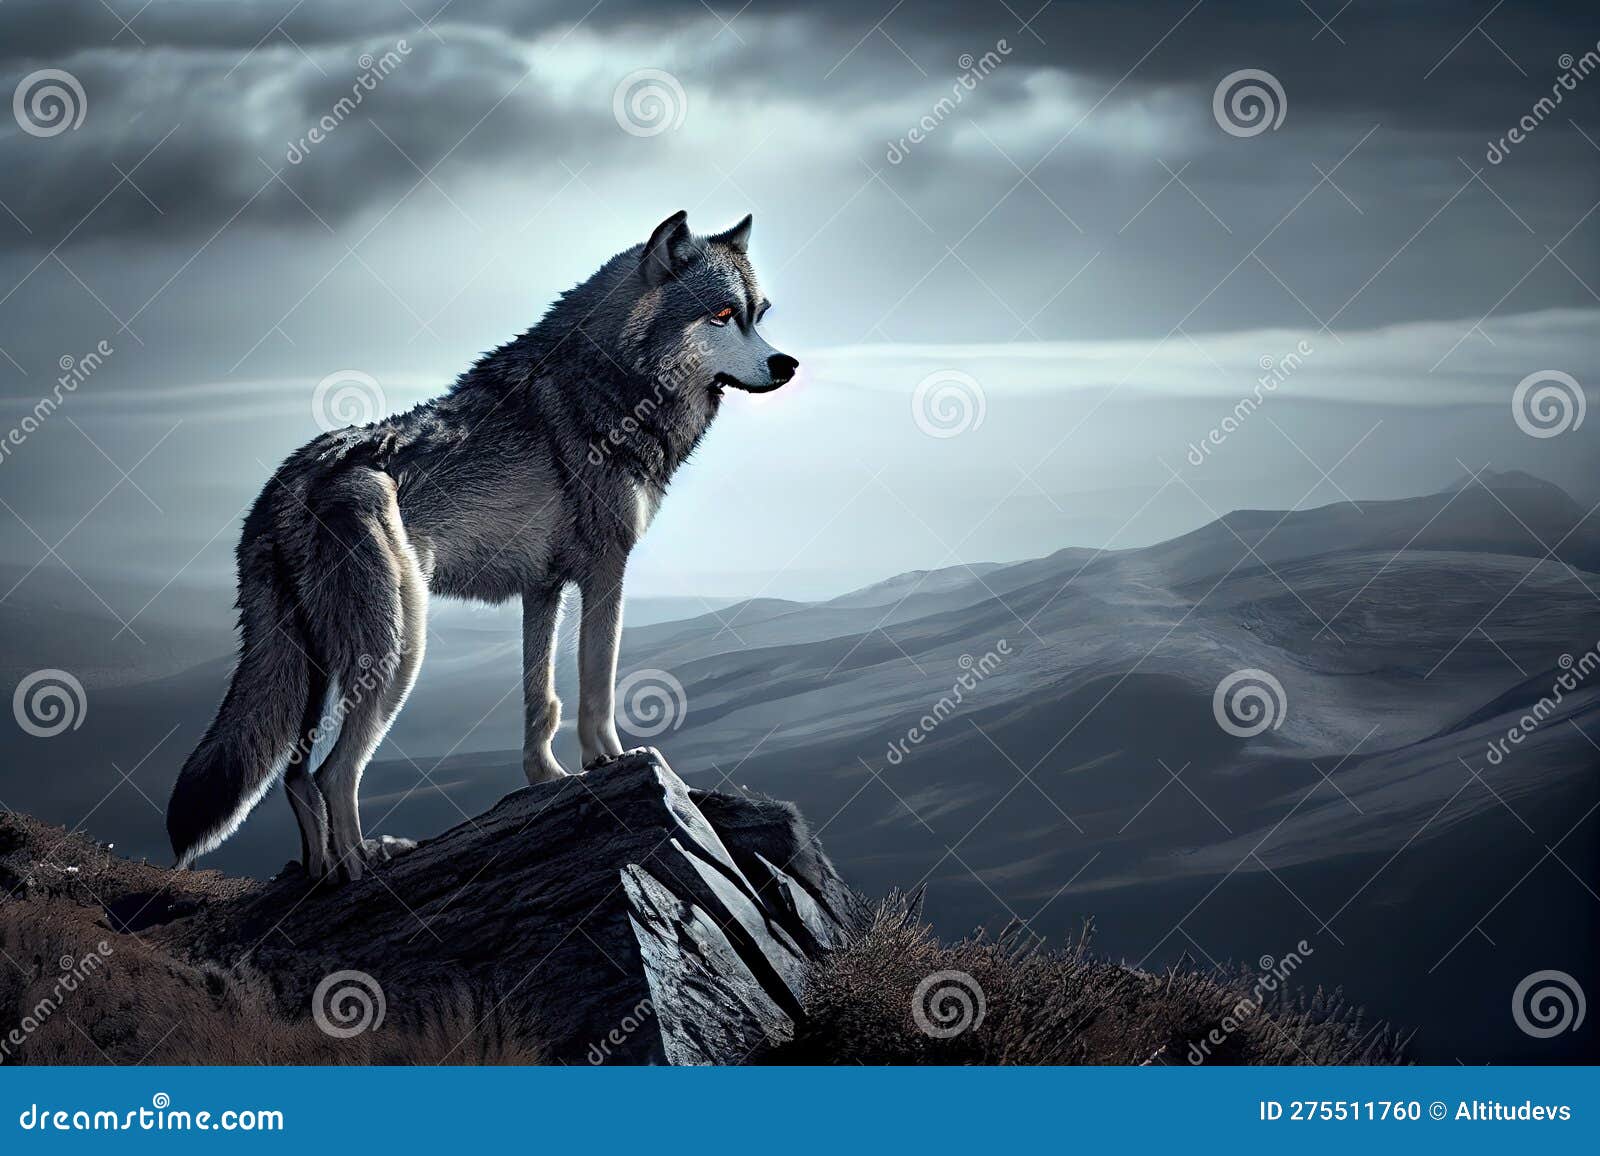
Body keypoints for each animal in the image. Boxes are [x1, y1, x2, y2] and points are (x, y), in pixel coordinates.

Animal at [165, 211, 797, 882]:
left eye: (760, 313)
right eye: (723, 315)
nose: (787, 364)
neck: (612, 387)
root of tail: (286, 484)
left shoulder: (543, 589)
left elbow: (540, 700)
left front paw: (546, 777)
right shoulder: (608, 569)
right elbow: (597, 685)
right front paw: (611, 761)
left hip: (315, 671)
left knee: (297, 780)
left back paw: (323, 875)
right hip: (397, 652)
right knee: (335, 772)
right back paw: (365, 866)